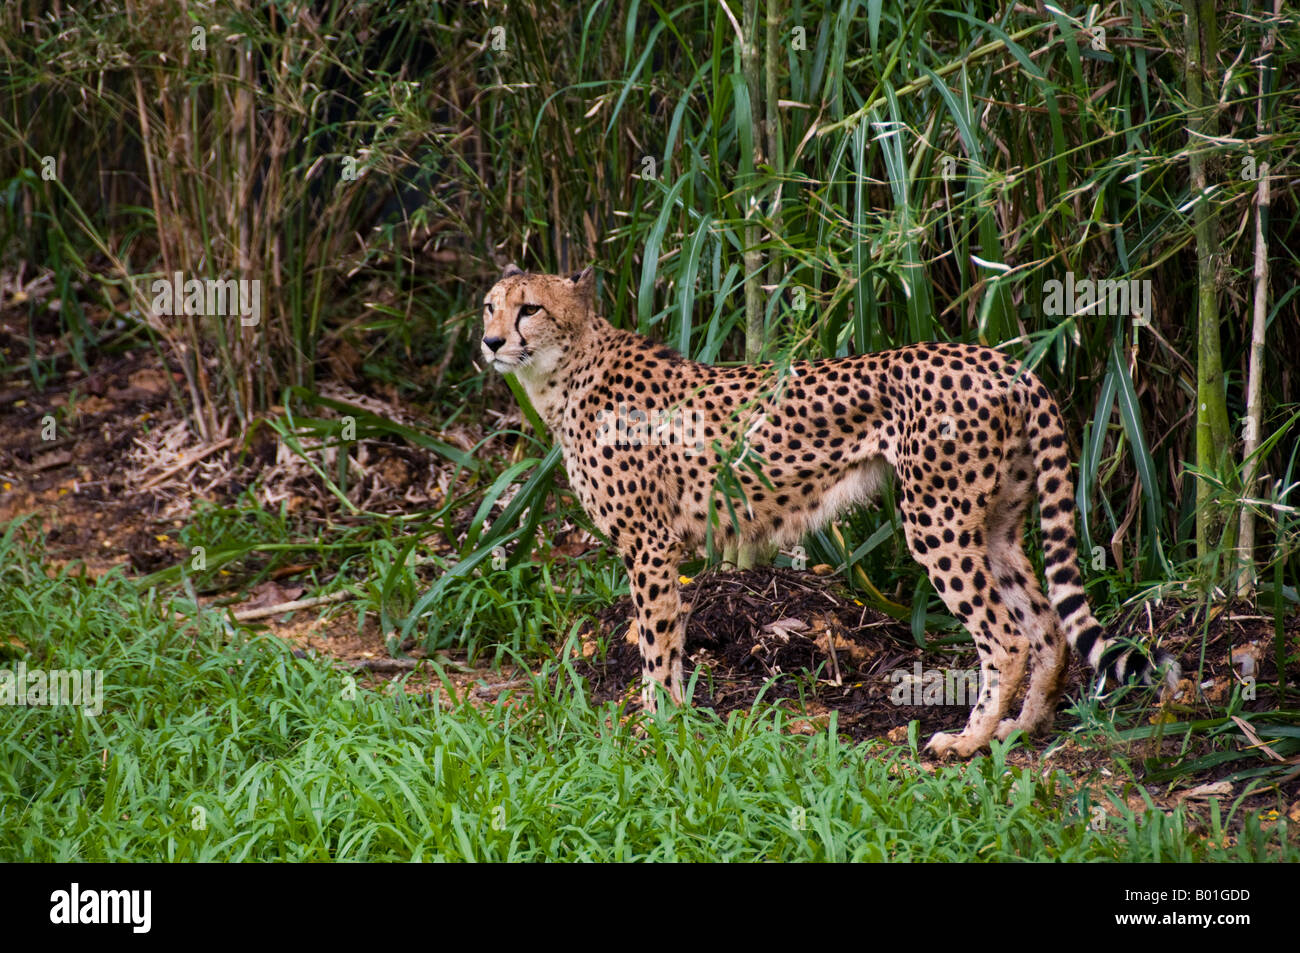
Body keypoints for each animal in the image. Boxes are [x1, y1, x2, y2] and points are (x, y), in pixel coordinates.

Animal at [480, 263, 1178, 757]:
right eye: (491, 305)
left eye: (530, 309)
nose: (489, 341)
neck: (567, 373)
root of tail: (1002, 359)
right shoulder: (665, 549)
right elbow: (672, 640)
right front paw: (673, 723)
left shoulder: (650, 546)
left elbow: (656, 645)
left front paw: (656, 728)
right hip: (997, 527)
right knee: (1047, 629)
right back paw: (1020, 732)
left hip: (938, 524)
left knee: (1006, 638)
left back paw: (968, 741)